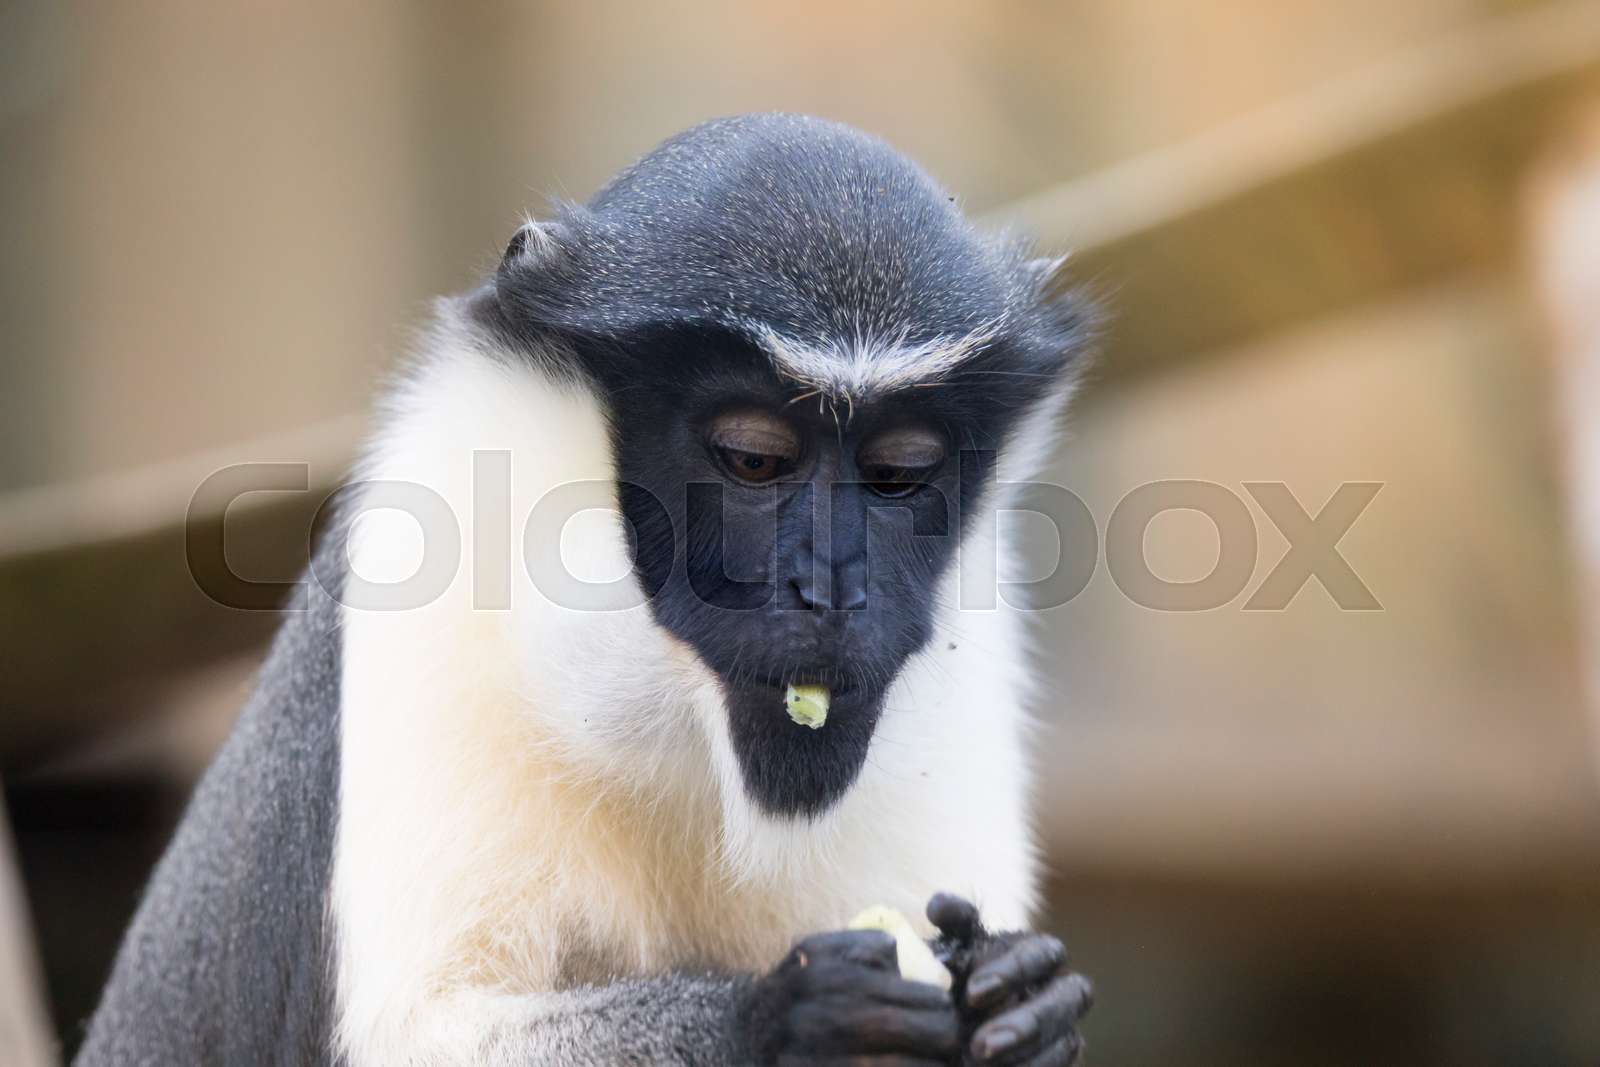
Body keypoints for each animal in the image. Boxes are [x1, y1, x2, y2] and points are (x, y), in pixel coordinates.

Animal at [78, 113, 1094, 1066]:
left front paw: (1023, 1000)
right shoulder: (430, 583)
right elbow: (423, 1030)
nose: (833, 586)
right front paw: (787, 1018)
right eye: (753, 457)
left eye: (899, 472)